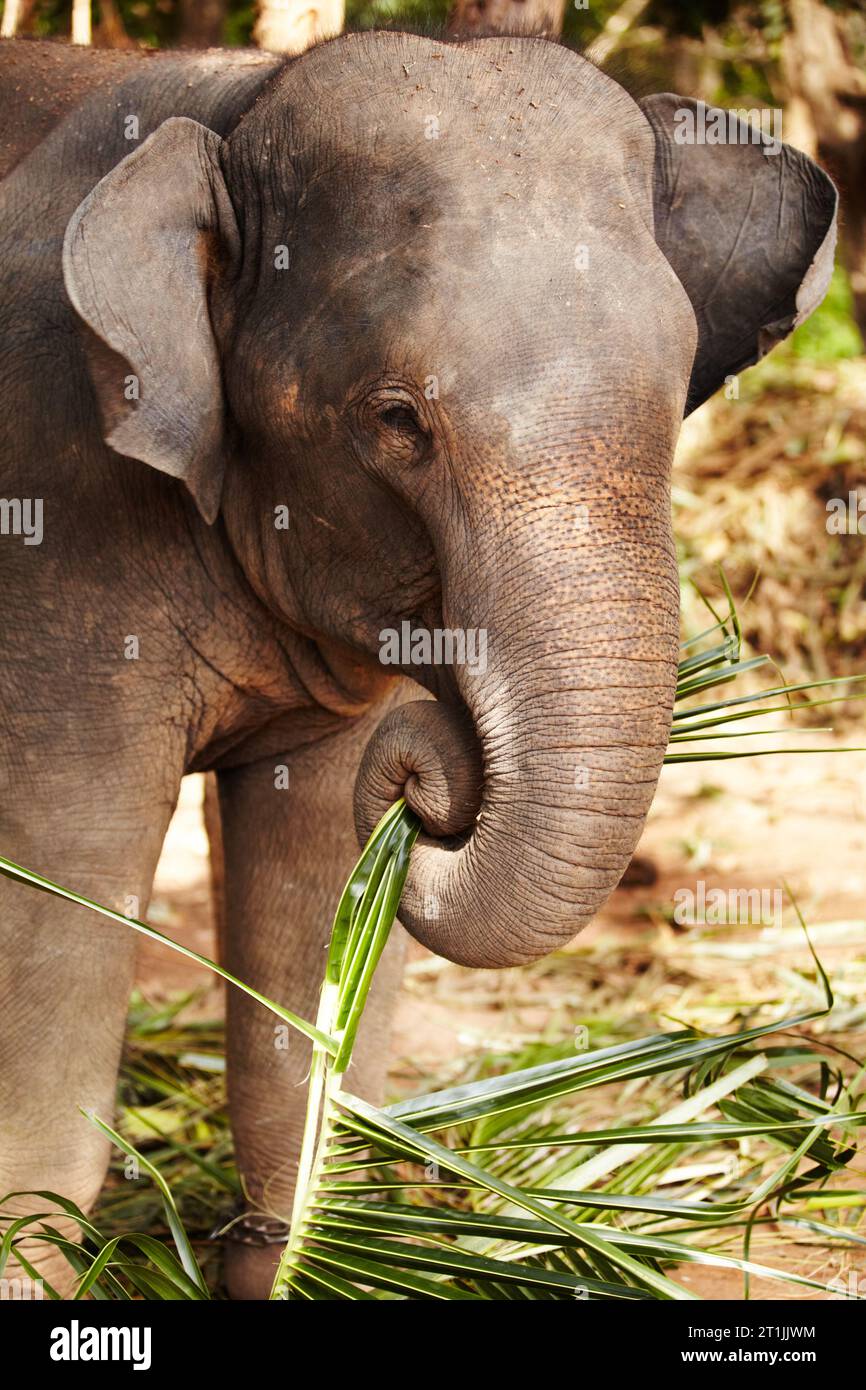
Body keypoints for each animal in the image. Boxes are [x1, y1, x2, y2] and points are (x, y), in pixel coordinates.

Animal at [0, 31, 836, 1299]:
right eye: (397, 419)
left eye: (679, 386)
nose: (437, 777)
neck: (236, 102)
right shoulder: (50, 519)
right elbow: (67, 867)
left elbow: (315, 864)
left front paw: (294, 1244)